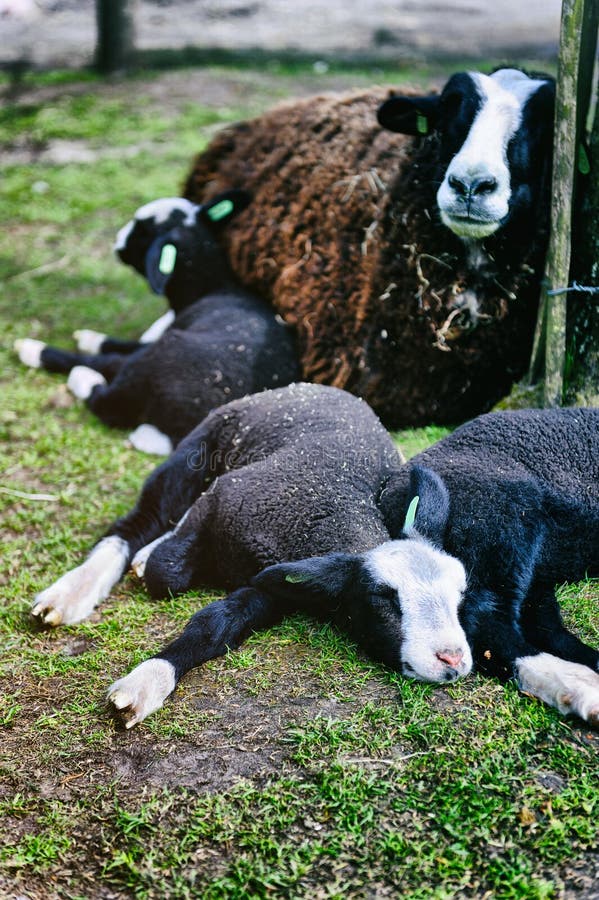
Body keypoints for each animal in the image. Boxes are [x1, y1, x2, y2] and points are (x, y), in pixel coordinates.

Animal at [15, 191, 299, 453]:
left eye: (142, 231)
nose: (117, 241)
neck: (209, 287)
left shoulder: (159, 338)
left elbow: (116, 351)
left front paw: (59, 346)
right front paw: (89, 337)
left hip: (157, 357)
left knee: (108, 397)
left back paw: (63, 366)